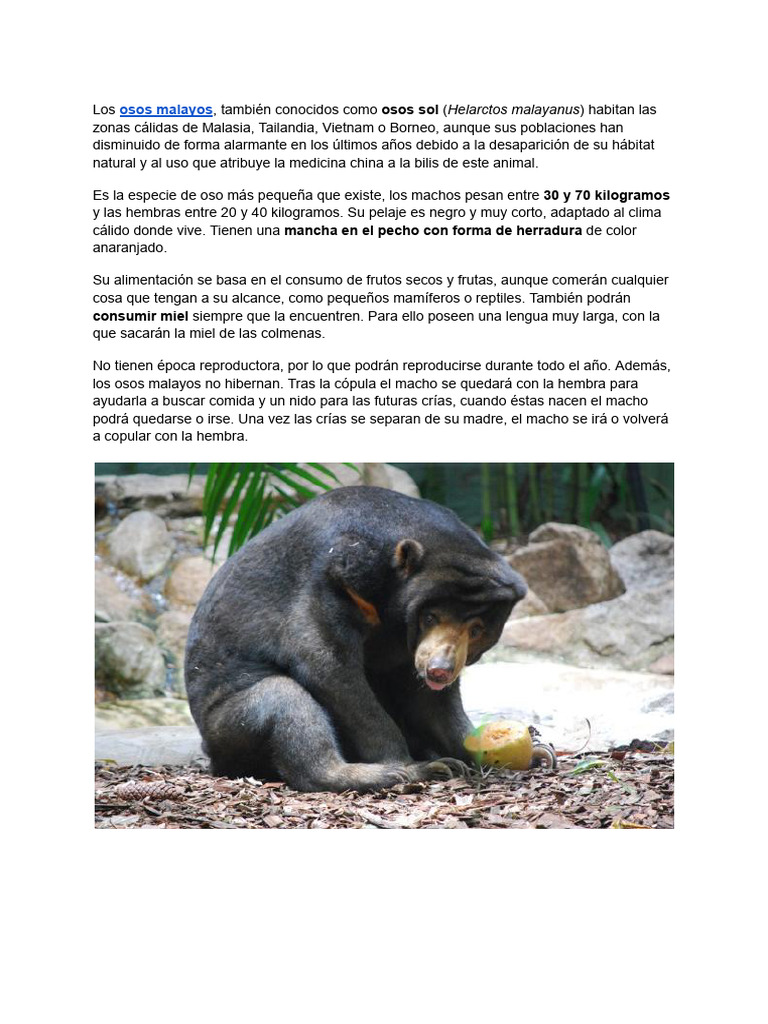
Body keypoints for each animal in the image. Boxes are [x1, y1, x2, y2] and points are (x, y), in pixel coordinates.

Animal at [184, 486, 527, 792]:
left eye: (477, 629)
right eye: (430, 617)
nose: (439, 670)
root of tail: (210, 752)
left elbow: (431, 701)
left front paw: (483, 750)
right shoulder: (331, 583)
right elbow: (327, 664)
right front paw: (411, 767)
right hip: (227, 724)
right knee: (284, 700)